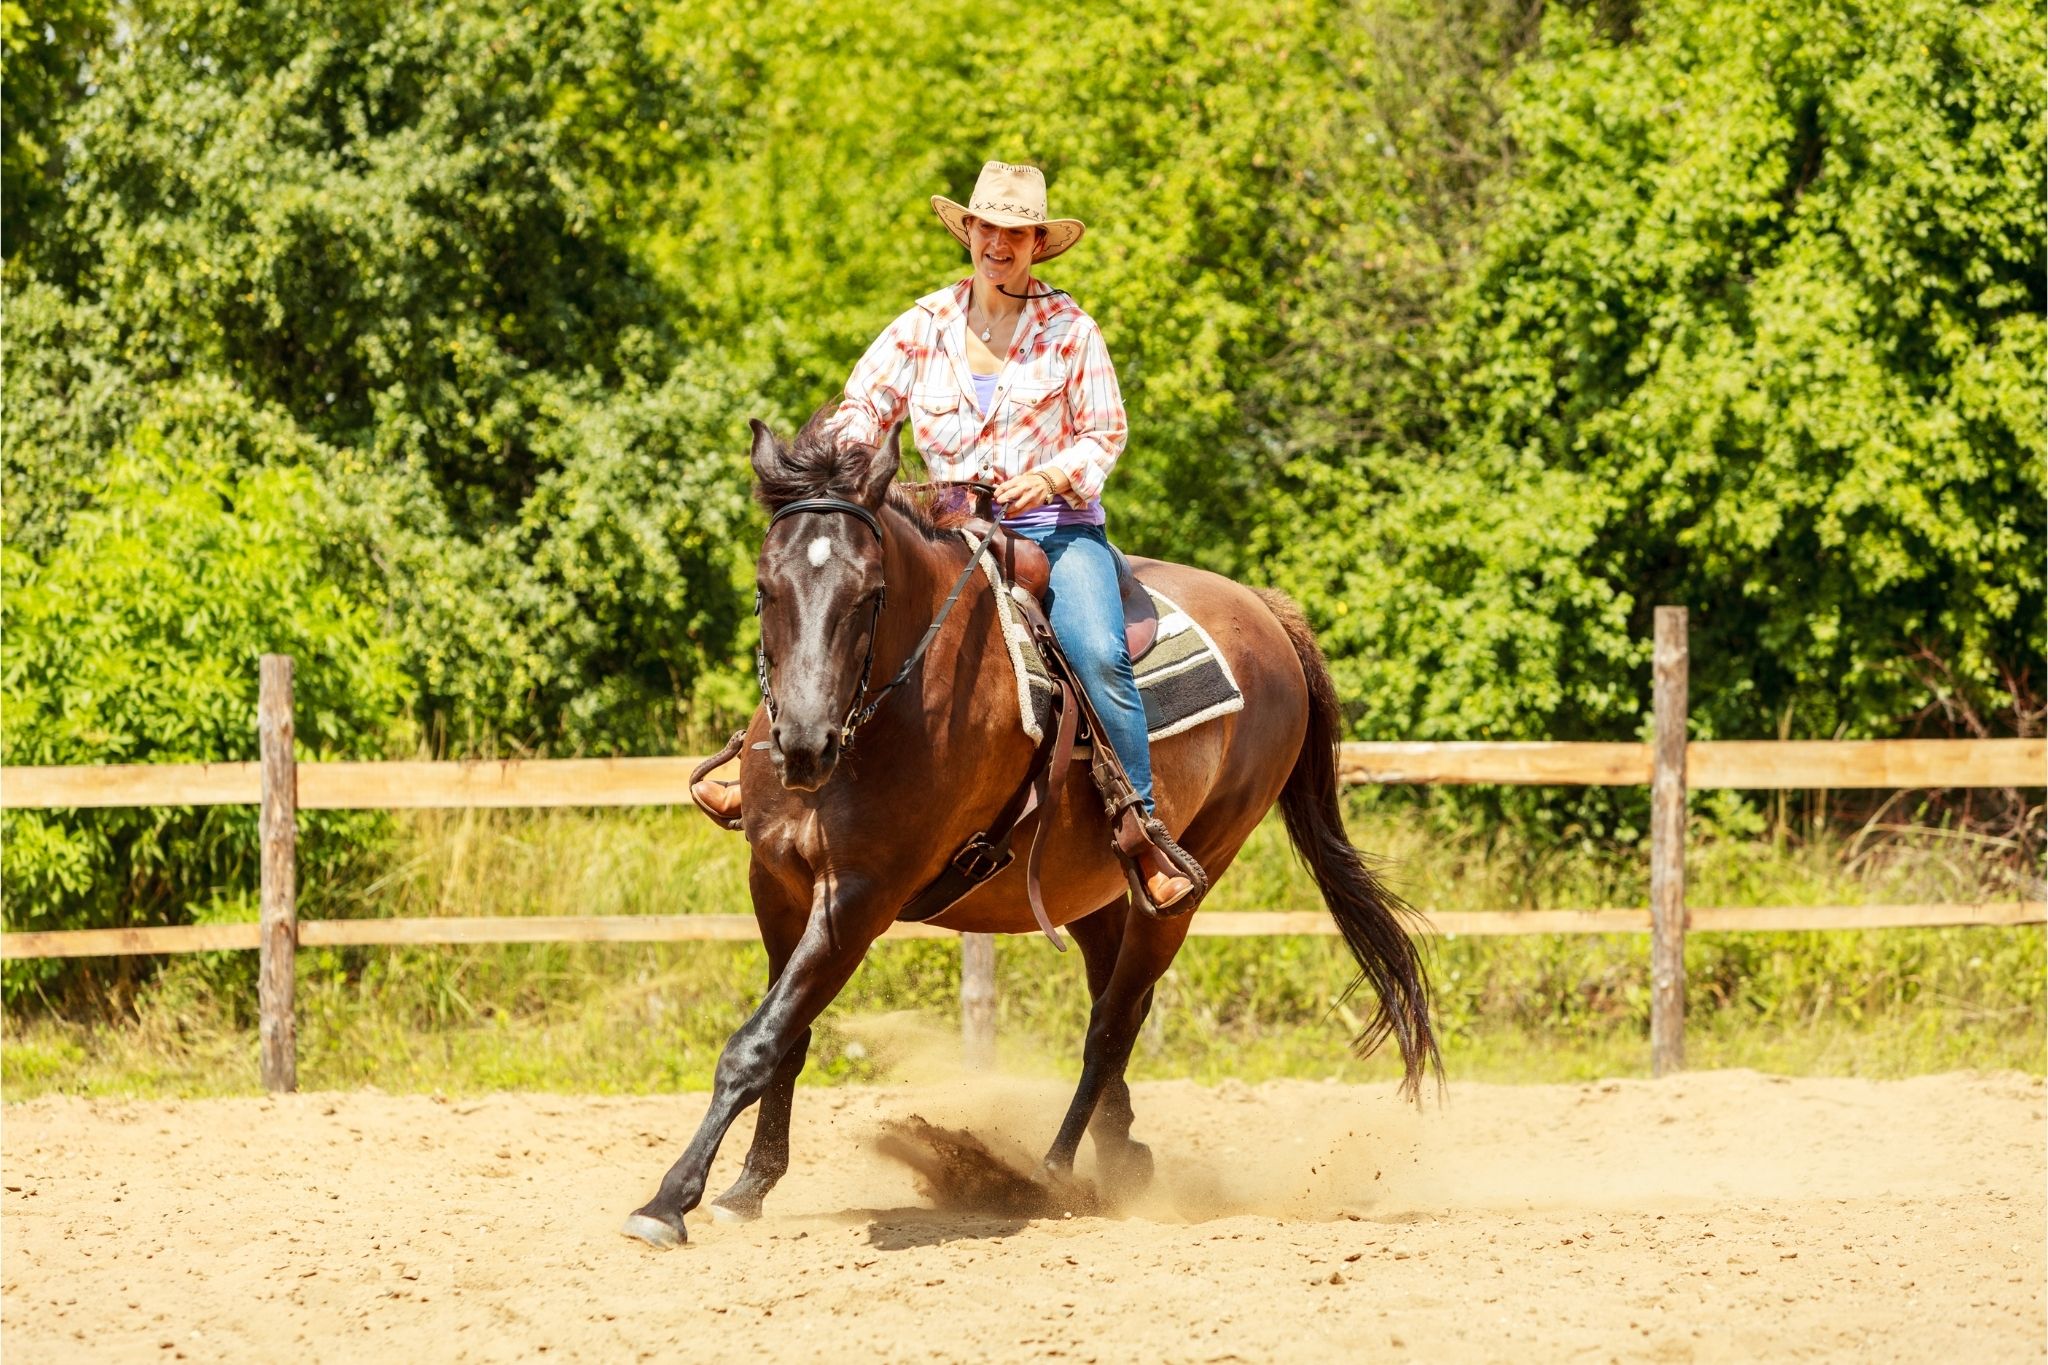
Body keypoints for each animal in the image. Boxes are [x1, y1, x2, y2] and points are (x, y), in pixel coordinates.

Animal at [621, 412, 1439, 1248]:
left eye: (870, 592)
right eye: (766, 587)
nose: (804, 743)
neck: (885, 715)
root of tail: (1268, 613)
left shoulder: (859, 899)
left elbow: (756, 1043)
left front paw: (670, 1198)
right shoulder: (777, 884)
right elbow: (787, 1039)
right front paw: (750, 1184)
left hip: (1181, 886)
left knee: (1111, 1023)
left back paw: (1050, 1171)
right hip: (1095, 888)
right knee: (1118, 1002)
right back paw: (1122, 1155)